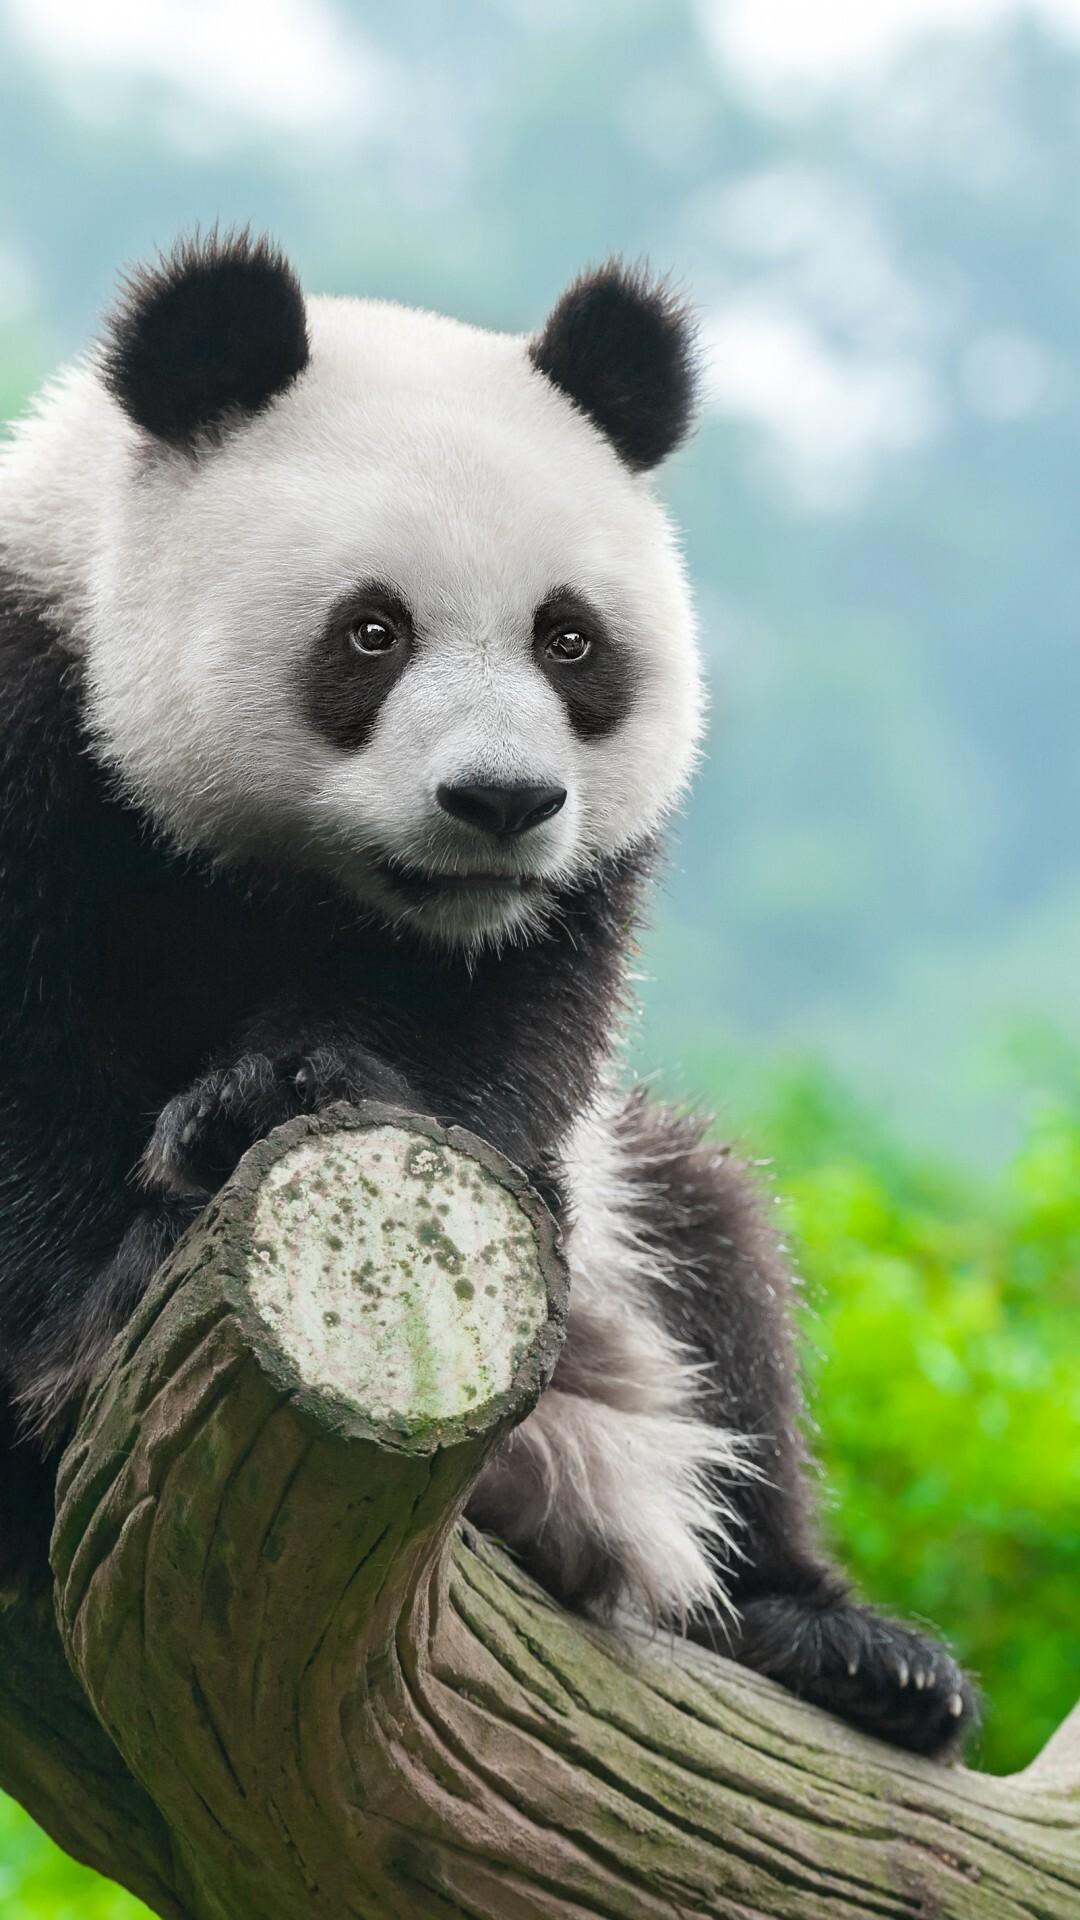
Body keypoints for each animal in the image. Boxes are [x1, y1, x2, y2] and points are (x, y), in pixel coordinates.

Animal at [0, 230, 975, 1756]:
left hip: (632, 1279)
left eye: (569, 641)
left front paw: (273, 1094)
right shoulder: (32, 713)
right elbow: (29, 1077)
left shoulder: (551, 912)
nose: (502, 801)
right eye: (372, 632)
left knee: (719, 1258)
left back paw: (848, 1647)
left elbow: (486, 1042)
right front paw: (94, 1321)